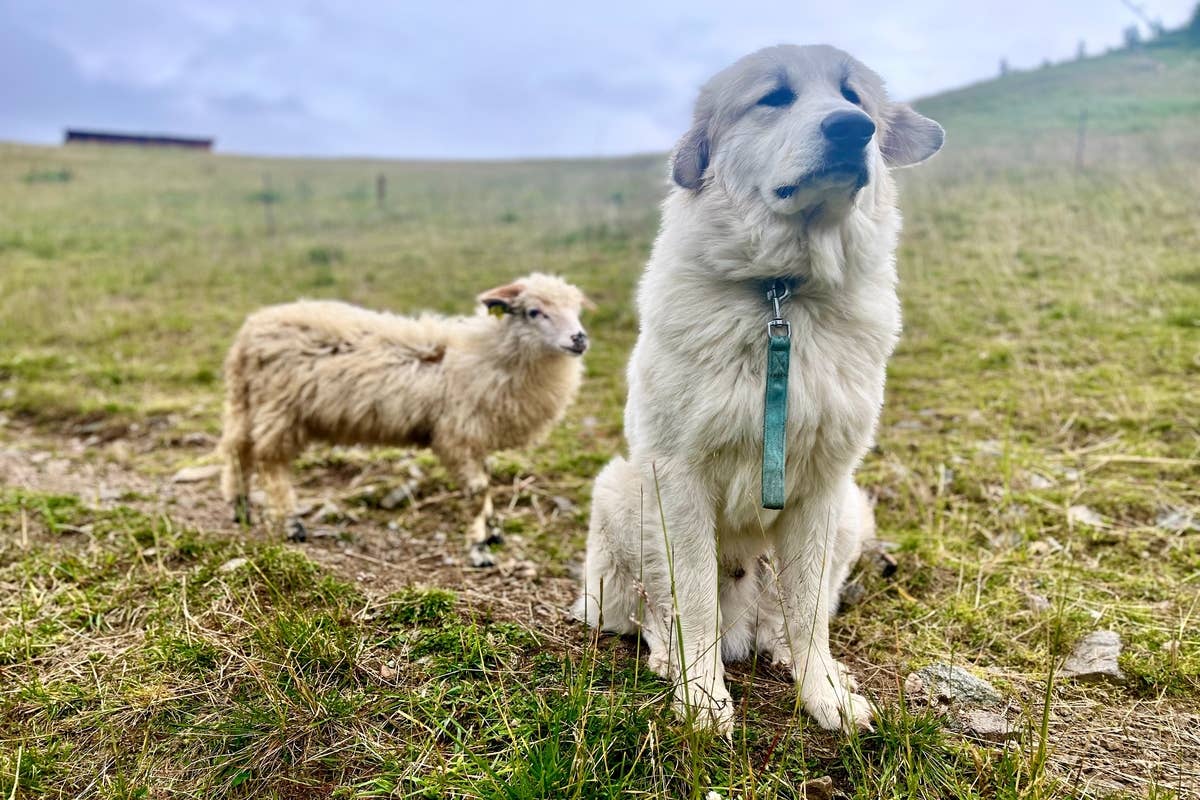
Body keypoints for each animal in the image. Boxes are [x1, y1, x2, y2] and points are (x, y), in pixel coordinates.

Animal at [217, 273, 590, 567]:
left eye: (577, 310)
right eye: (534, 312)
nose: (579, 338)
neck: (487, 356)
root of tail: (251, 332)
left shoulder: (476, 436)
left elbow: (487, 485)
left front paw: (493, 530)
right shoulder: (457, 434)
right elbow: (477, 490)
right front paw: (479, 548)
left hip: (247, 402)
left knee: (237, 449)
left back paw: (240, 508)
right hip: (280, 408)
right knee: (270, 461)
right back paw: (291, 522)